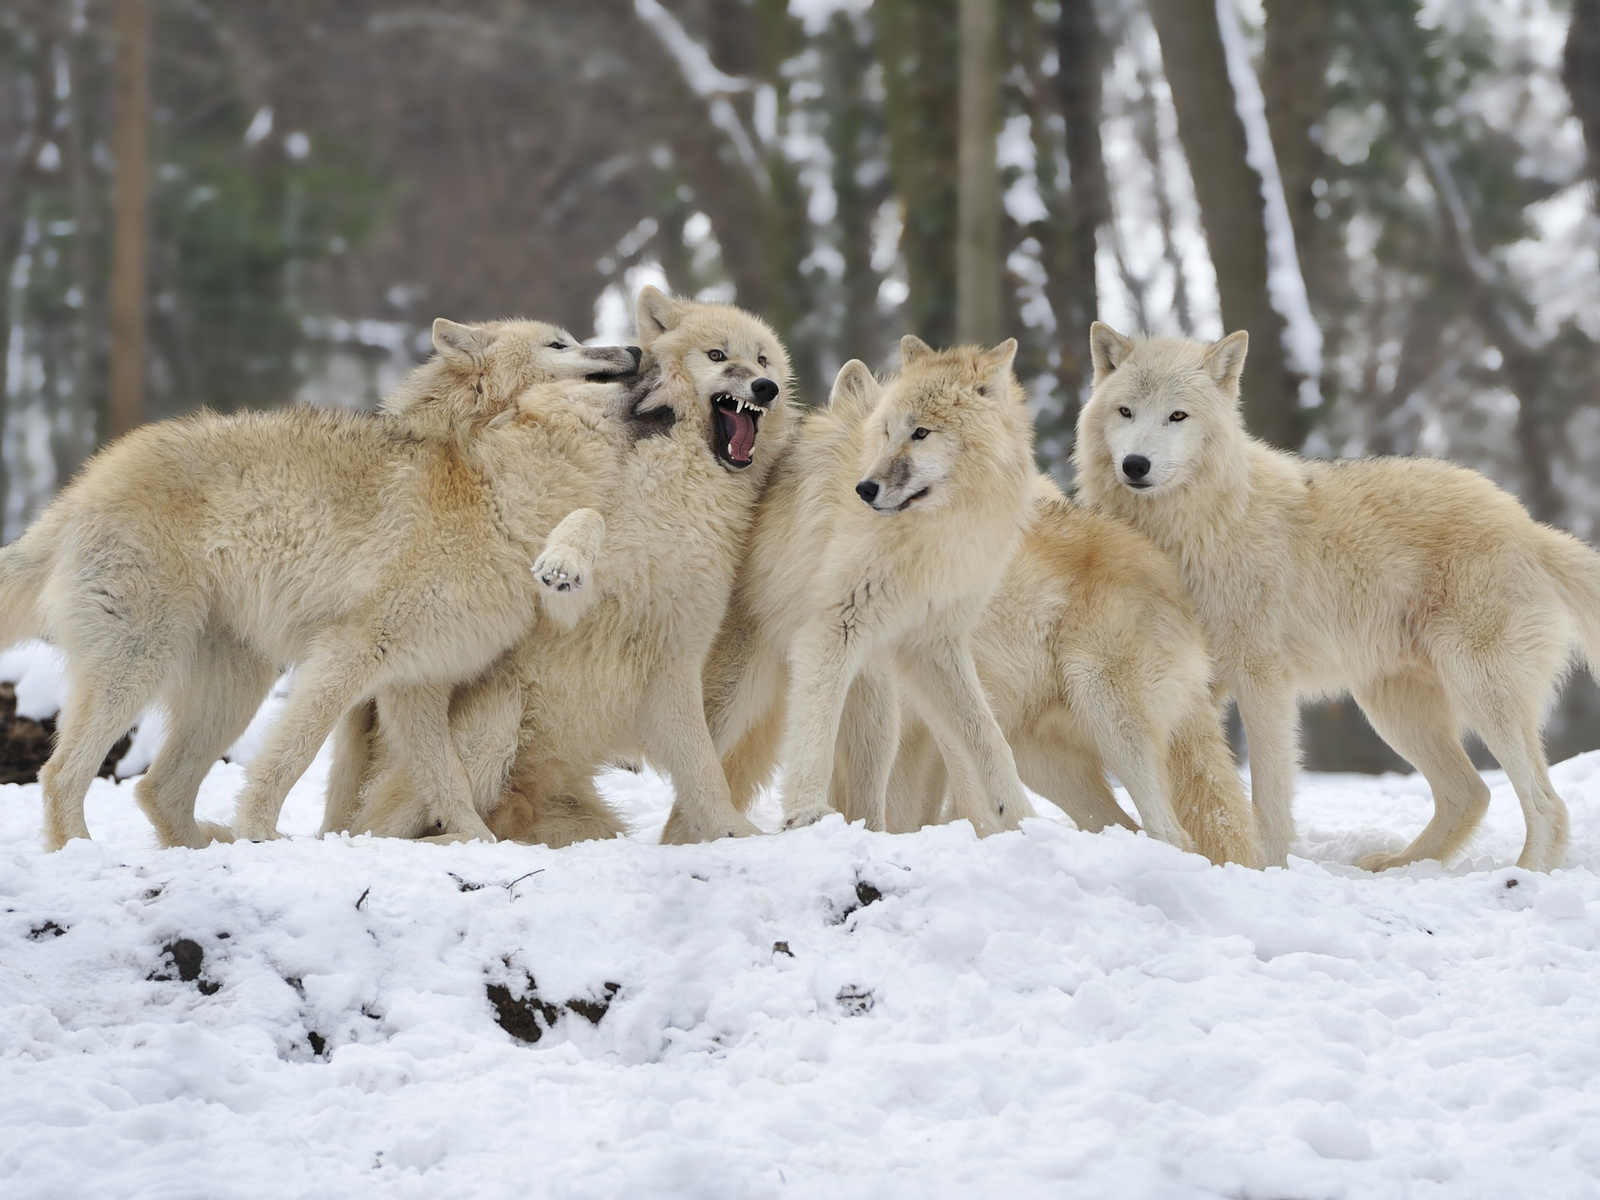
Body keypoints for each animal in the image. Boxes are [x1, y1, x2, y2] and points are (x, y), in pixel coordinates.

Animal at [0, 319, 640, 850]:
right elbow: (294, 755)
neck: (492, 497)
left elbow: (449, 782)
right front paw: (260, 832)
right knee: (60, 774)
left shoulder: (416, 684)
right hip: (140, 664)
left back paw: (200, 849)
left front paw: (478, 844)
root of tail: (82, 485)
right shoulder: (350, 652)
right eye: (560, 345)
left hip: (233, 688)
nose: (635, 351)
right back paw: (81, 853)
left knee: (158, 788)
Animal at [335, 287, 795, 846]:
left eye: (764, 360)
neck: (680, 488)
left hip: (585, 820)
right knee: (388, 830)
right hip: (496, 715)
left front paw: (734, 833)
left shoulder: (676, 655)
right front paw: (562, 562)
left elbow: (705, 770)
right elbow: (588, 518)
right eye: (717, 356)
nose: (765, 387)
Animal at [700, 337, 1038, 837]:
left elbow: (990, 739)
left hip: (878, 711)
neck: (935, 534)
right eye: (886, 432)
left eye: (921, 433)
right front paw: (806, 812)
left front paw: (1022, 818)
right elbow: (814, 735)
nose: (864, 489)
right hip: (732, 695)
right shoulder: (833, 630)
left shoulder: (934, 644)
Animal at [1075, 324, 1600, 872]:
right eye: (1126, 412)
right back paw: (1399, 868)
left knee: (1547, 804)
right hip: (1393, 710)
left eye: (1177, 415)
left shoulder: (1263, 679)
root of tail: (1529, 525)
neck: (1191, 530)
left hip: (1478, 691)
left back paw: (1522, 877)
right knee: (1471, 793)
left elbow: (1268, 794)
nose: (1136, 465)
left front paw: (1270, 867)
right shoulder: (1195, 687)